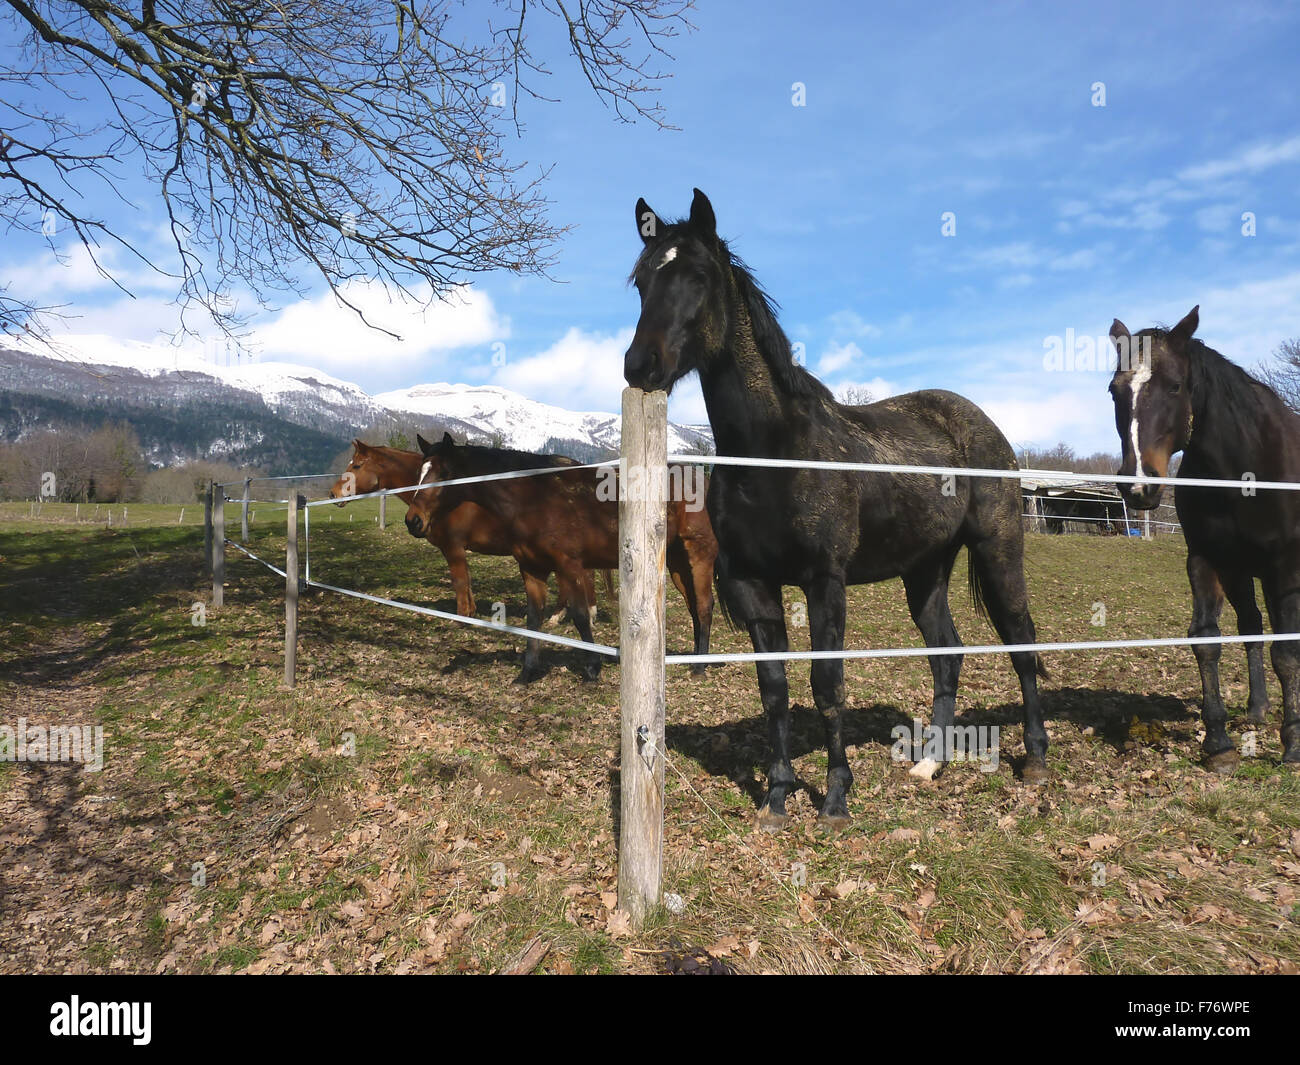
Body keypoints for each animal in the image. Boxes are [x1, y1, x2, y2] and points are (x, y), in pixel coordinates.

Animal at [329, 439, 612, 621]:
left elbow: (460, 582)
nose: (332, 494)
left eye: (356, 466)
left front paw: (463, 617)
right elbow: (466, 583)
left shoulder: (453, 548)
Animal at [405, 433, 718, 683]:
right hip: (677, 563)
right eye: (420, 472)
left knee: (704, 606)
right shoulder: (532, 569)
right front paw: (527, 672)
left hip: (698, 556)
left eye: (445, 472)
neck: (534, 499)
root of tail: (702, 479)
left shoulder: (569, 567)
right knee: (694, 607)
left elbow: (580, 616)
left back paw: (699, 667)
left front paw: (592, 668)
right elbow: (533, 619)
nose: (413, 521)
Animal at [623, 188, 1049, 831]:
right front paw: (777, 797)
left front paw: (835, 798)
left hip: (998, 552)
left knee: (1021, 641)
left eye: (697, 275)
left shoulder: (825, 582)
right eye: (642, 280)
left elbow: (827, 683)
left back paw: (1037, 759)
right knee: (947, 654)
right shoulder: (753, 585)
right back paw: (930, 764)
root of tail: (980, 423)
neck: (772, 453)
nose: (640, 365)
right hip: (925, 571)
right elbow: (774, 688)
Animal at [1108, 306, 1299, 769]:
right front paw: (1219, 742)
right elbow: (1208, 641)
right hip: (1242, 575)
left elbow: (1286, 653)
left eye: (1175, 385)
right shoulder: (1207, 561)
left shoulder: (1284, 565)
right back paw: (1257, 708)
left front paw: (1292, 743)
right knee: (1251, 626)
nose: (1139, 485)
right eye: (1114, 391)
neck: (1245, 470)